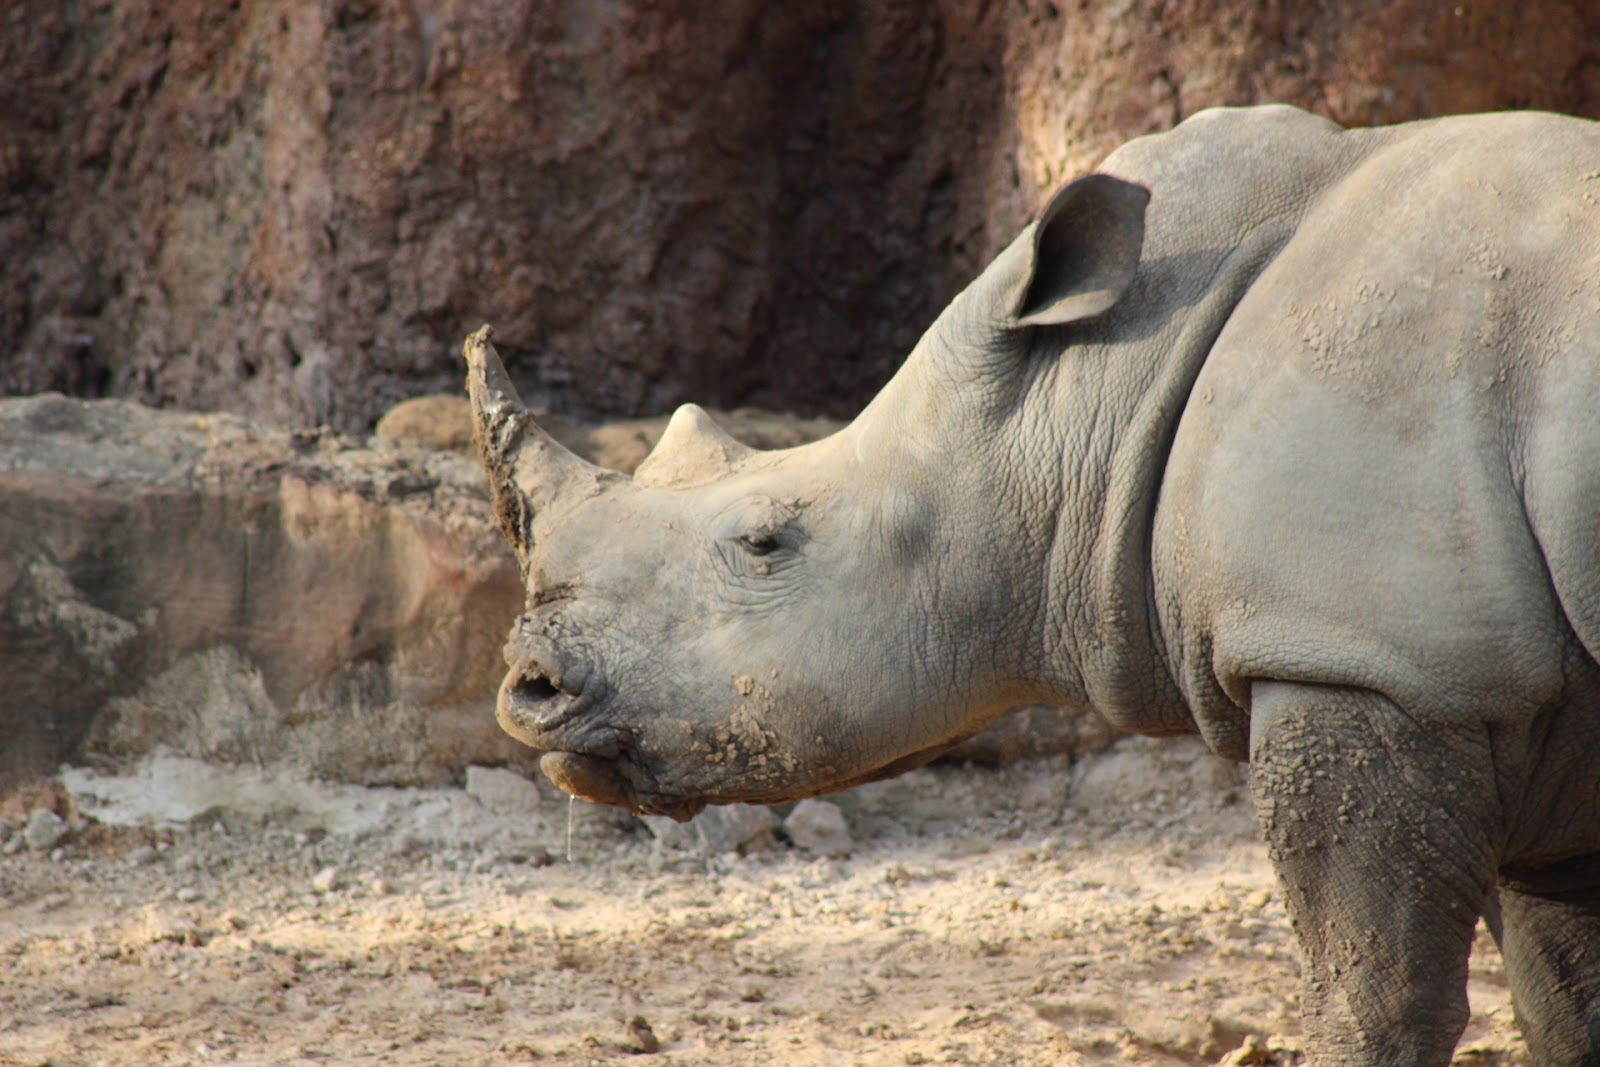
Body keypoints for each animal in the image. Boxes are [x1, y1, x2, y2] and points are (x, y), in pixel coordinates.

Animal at [462, 105, 1600, 1065]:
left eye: (764, 541)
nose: (529, 690)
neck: (1096, 385)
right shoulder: (1506, 682)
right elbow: (1563, 997)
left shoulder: (1382, 657)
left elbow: (1372, 994)